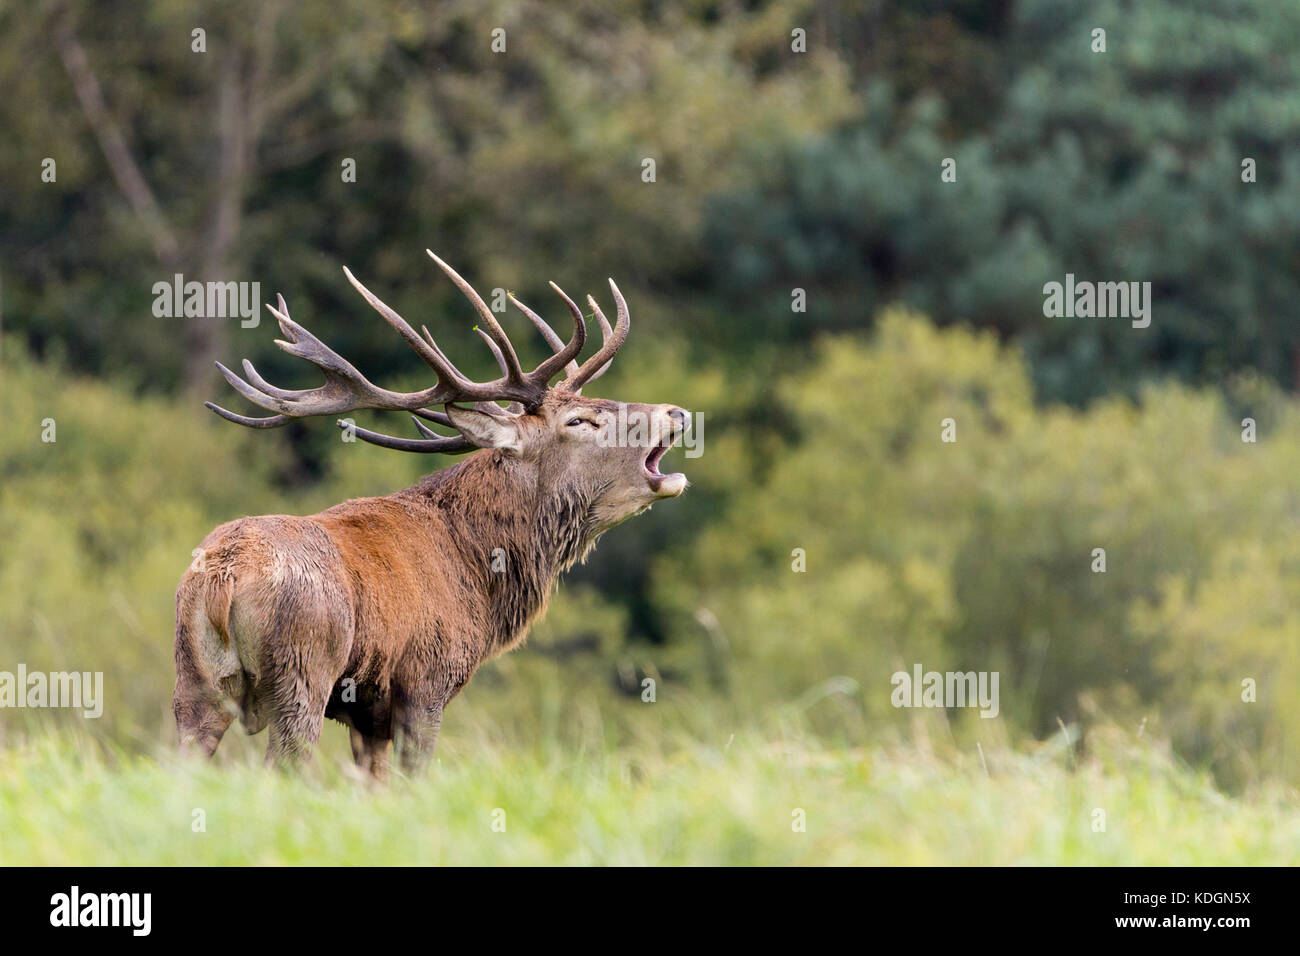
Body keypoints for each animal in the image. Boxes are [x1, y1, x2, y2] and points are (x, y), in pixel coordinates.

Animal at [173, 250, 689, 779]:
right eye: (580, 420)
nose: (676, 412)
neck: (479, 571)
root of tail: (225, 575)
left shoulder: (368, 714)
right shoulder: (426, 681)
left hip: (193, 680)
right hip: (305, 665)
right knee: (285, 763)